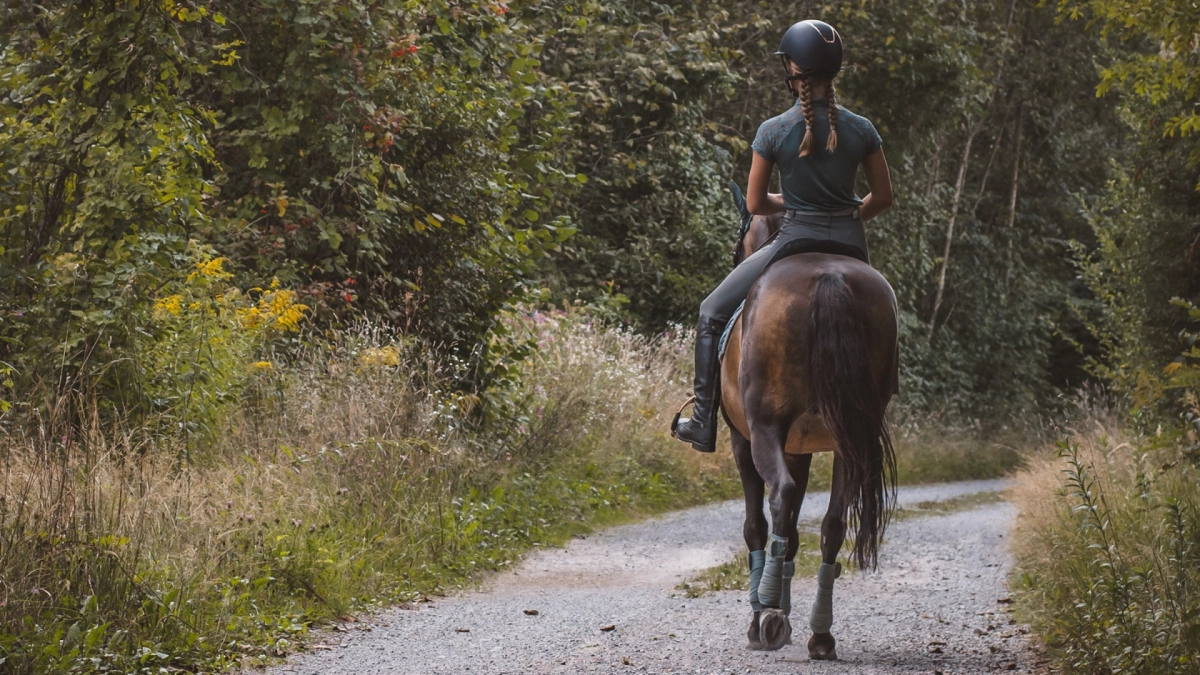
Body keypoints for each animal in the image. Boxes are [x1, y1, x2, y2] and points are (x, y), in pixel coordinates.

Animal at [720, 185, 899, 658]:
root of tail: (829, 278)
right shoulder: (798, 450)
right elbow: (795, 533)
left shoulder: (744, 440)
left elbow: (757, 525)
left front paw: (764, 613)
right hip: (850, 439)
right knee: (833, 524)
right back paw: (820, 634)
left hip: (763, 429)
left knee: (779, 497)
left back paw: (767, 615)